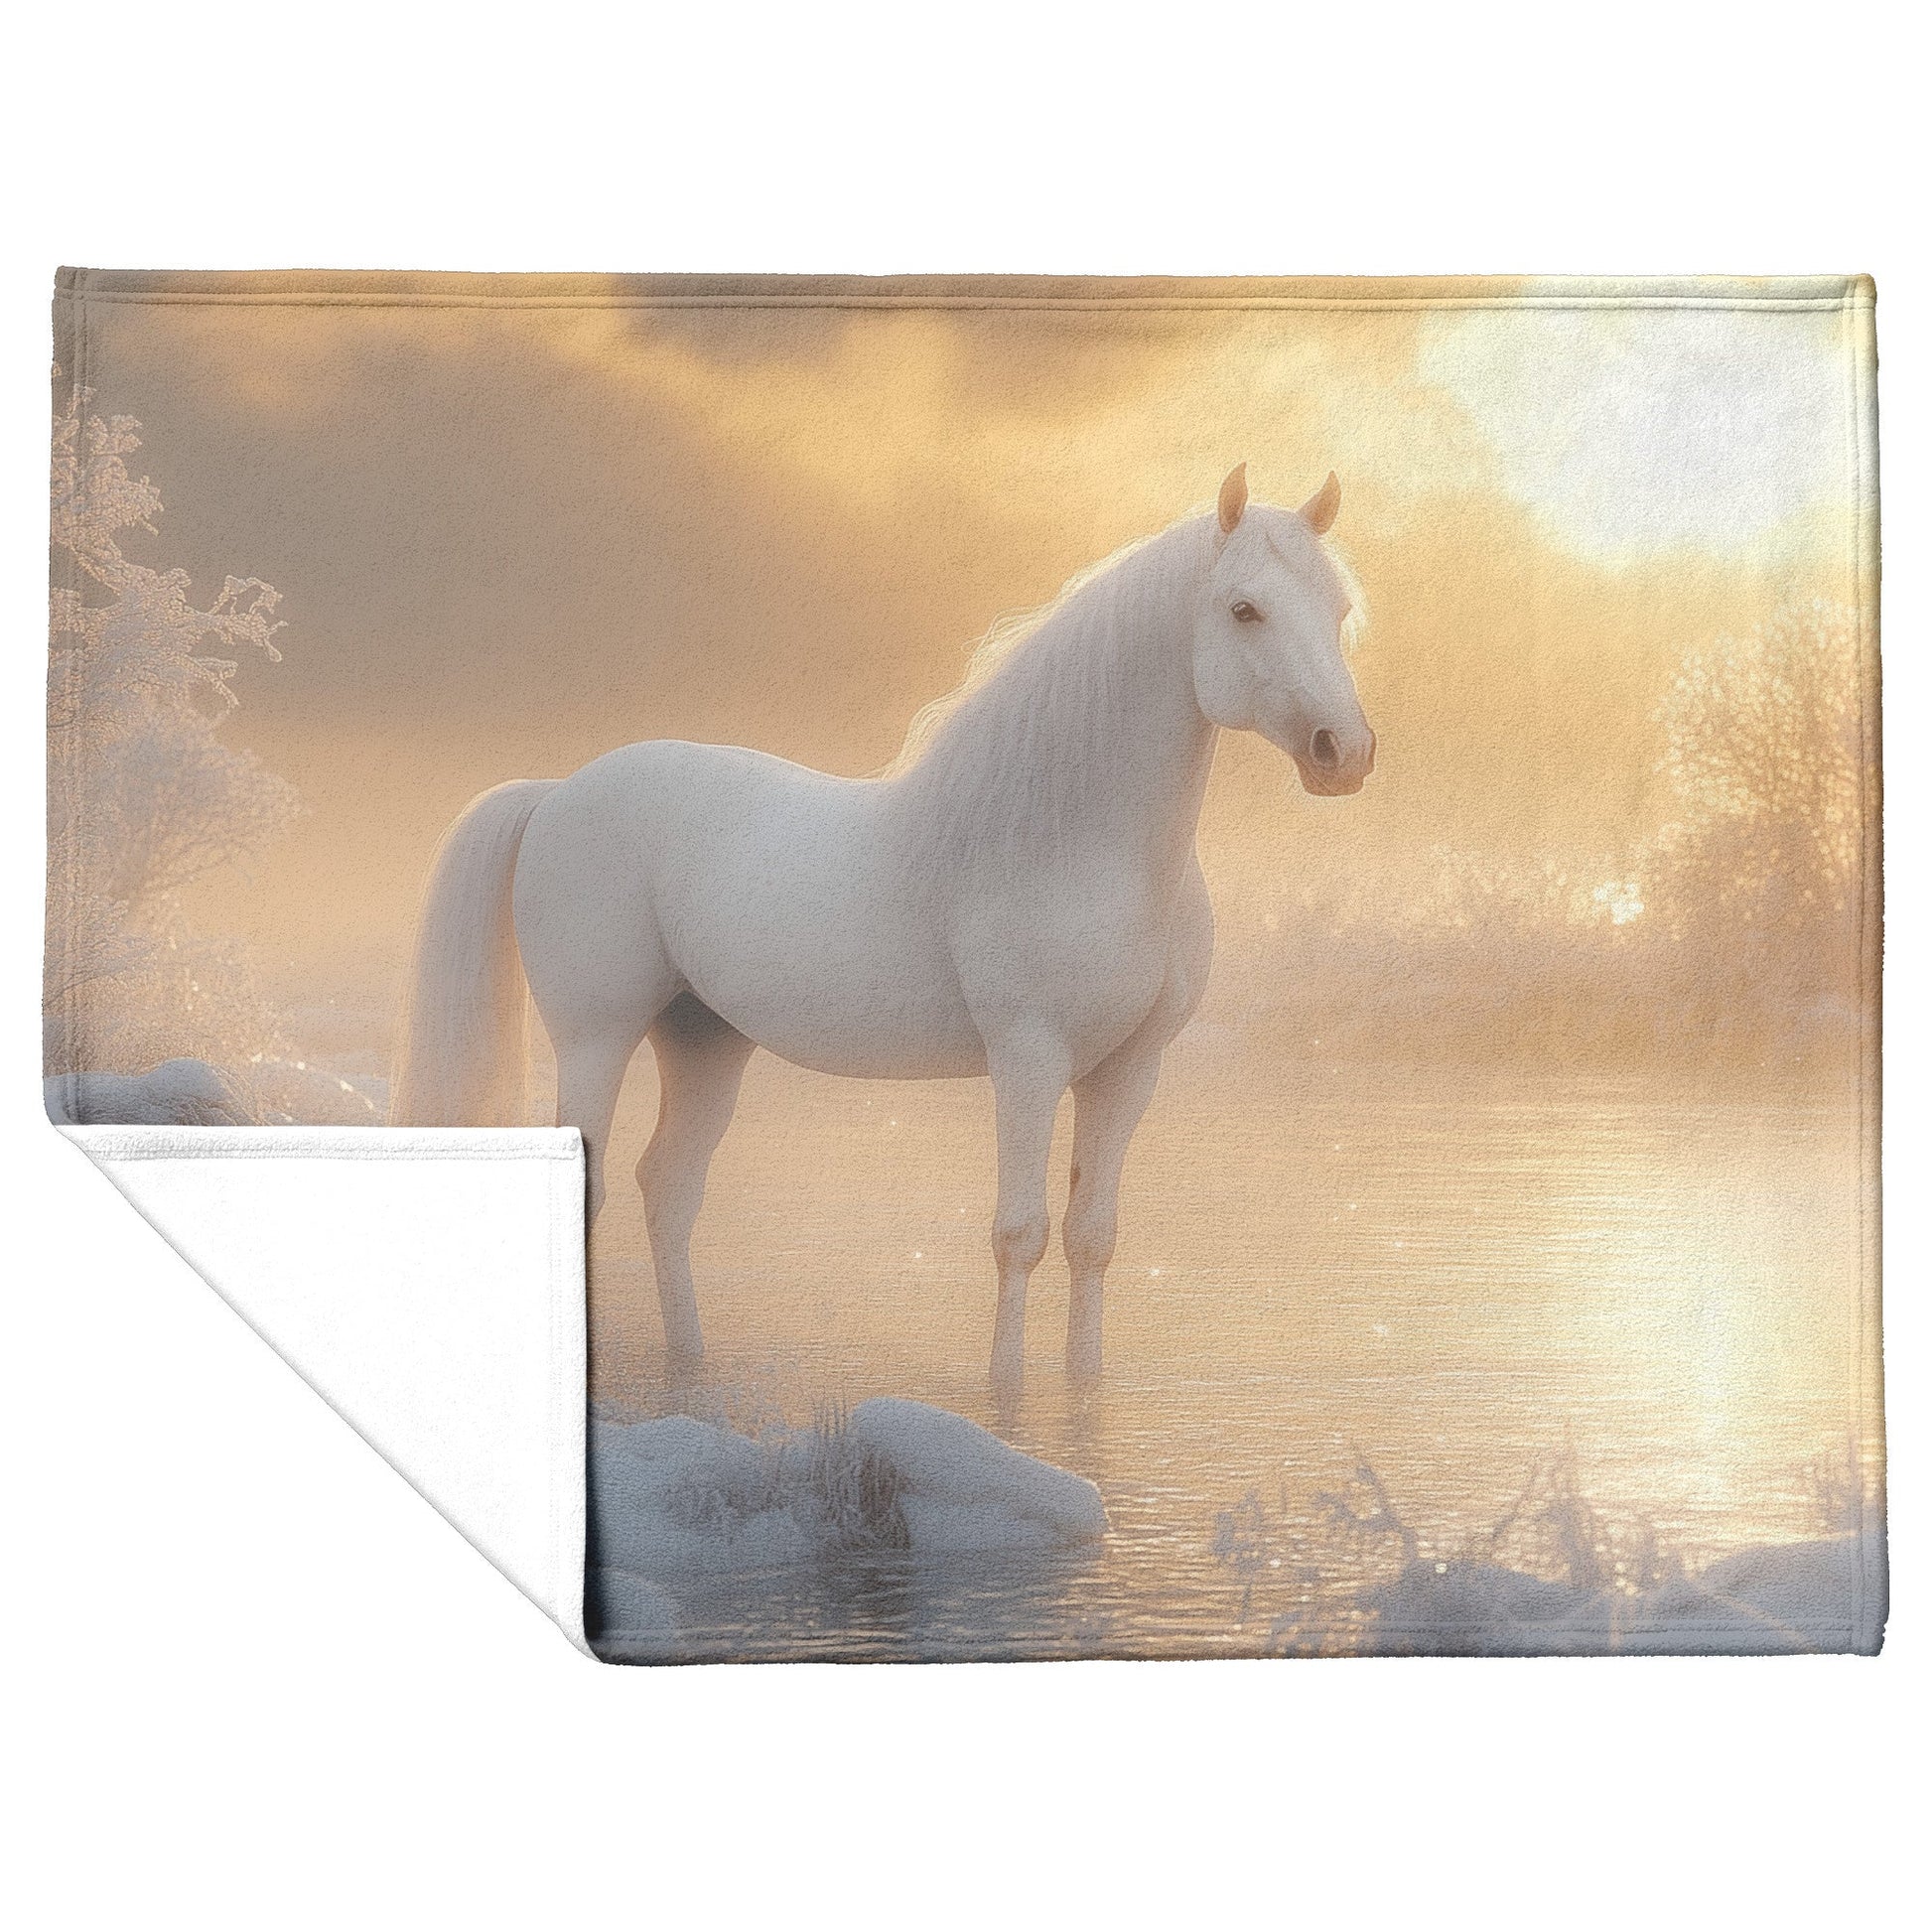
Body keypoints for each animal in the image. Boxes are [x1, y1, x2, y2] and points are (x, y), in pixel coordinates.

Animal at [392, 463, 1375, 1391]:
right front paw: (1007, 1395)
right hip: (596, 1039)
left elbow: (1092, 1236)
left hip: (704, 1042)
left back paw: (691, 1365)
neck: (1079, 839)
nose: (1347, 754)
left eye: (1336, 609)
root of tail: (559, 791)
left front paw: (1081, 1394)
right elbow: (1020, 1233)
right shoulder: (1029, 1060)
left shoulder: (1129, 1070)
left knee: (668, 1190)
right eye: (1244, 609)